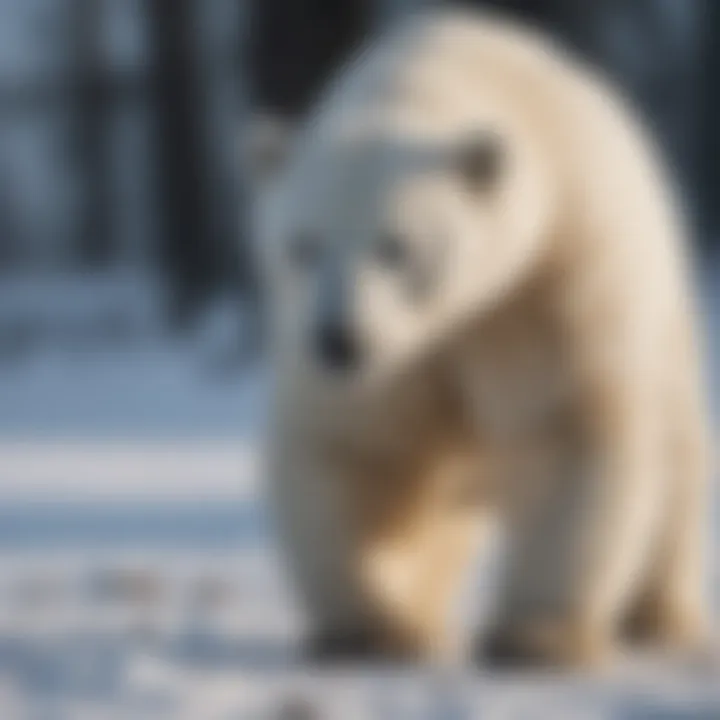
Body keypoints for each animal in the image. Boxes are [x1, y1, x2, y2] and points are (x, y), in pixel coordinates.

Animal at [250, 7, 712, 668]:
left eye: (395, 246)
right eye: (302, 246)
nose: (340, 338)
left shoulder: (547, 288)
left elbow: (564, 436)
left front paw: (535, 637)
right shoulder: (385, 366)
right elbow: (358, 450)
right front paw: (375, 627)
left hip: (664, 330)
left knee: (672, 462)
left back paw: (659, 619)